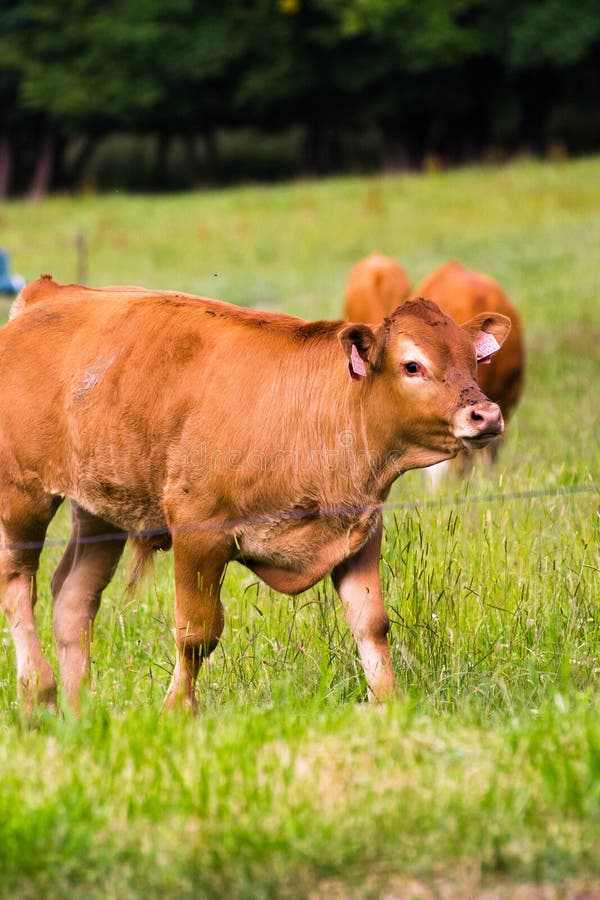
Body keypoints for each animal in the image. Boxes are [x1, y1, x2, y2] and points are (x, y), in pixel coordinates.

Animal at [0, 275, 510, 714]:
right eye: (412, 365)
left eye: (472, 361)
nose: (485, 414)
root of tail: (48, 295)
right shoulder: (199, 531)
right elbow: (197, 633)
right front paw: (176, 710)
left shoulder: (360, 533)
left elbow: (372, 624)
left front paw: (389, 703)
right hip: (22, 496)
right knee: (17, 583)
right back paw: (37, 691)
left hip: (100, 509)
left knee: (73, 598)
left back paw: (77, 711)